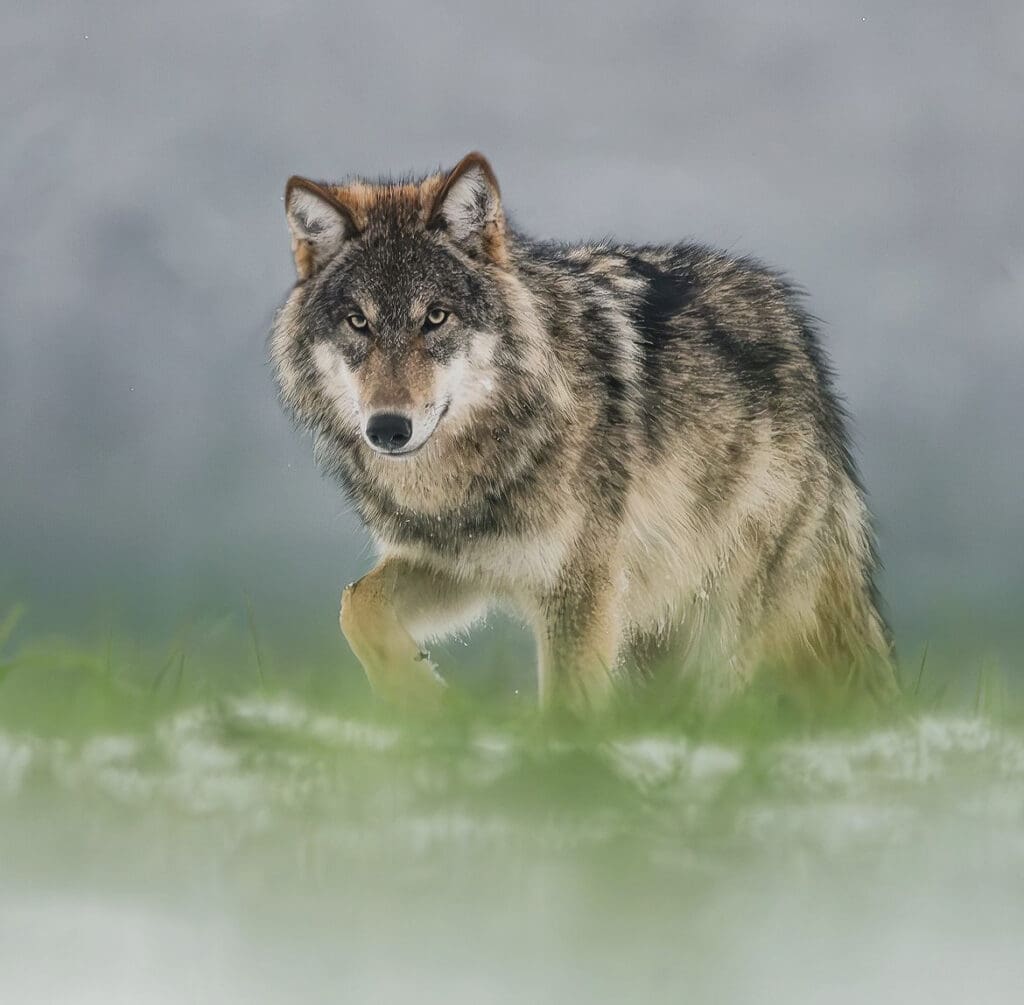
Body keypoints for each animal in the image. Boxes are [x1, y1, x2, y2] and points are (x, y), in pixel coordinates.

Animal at [270, 152, 897, 714]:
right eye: (358, 322)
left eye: (436, 318)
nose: (388, 429)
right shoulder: (459, 562)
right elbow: (356, 603)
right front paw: (422, 697)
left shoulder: (579, 587)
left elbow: (569, 706)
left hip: (721, 620)